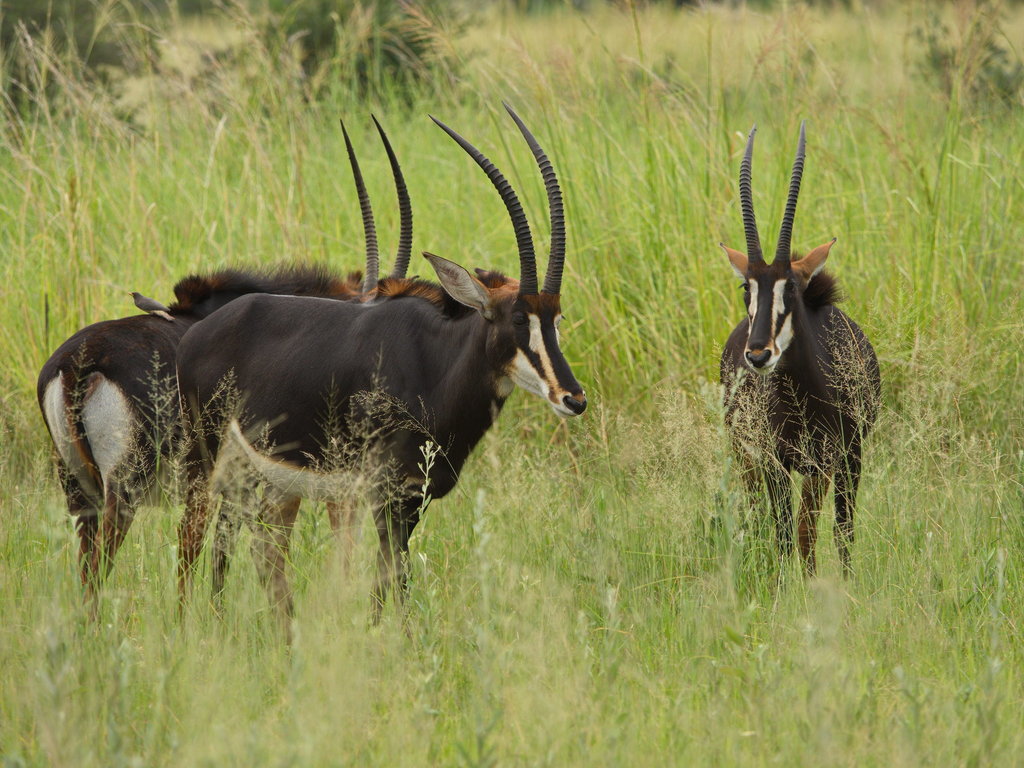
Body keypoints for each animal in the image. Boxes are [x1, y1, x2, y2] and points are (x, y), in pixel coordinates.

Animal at [175, 105, 587, 622]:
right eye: (515, 319)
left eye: (556, 318)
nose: (573, 398)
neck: (435, 366)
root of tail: (197, 334)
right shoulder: (381, 497)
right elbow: (393, 579)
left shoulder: (412, 502)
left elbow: (387, 578)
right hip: (205, 459)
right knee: (193, 539)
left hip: (253, 474)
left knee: (229, 541)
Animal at [719, 123, 881, 576]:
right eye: (746, 287)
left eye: (789, 286)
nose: (758, 355)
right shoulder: (774, 461)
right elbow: (784, 535)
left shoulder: (826, 460)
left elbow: (812, 535)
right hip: (747, 457)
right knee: (759, 521)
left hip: (849, 461)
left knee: (842, 528)